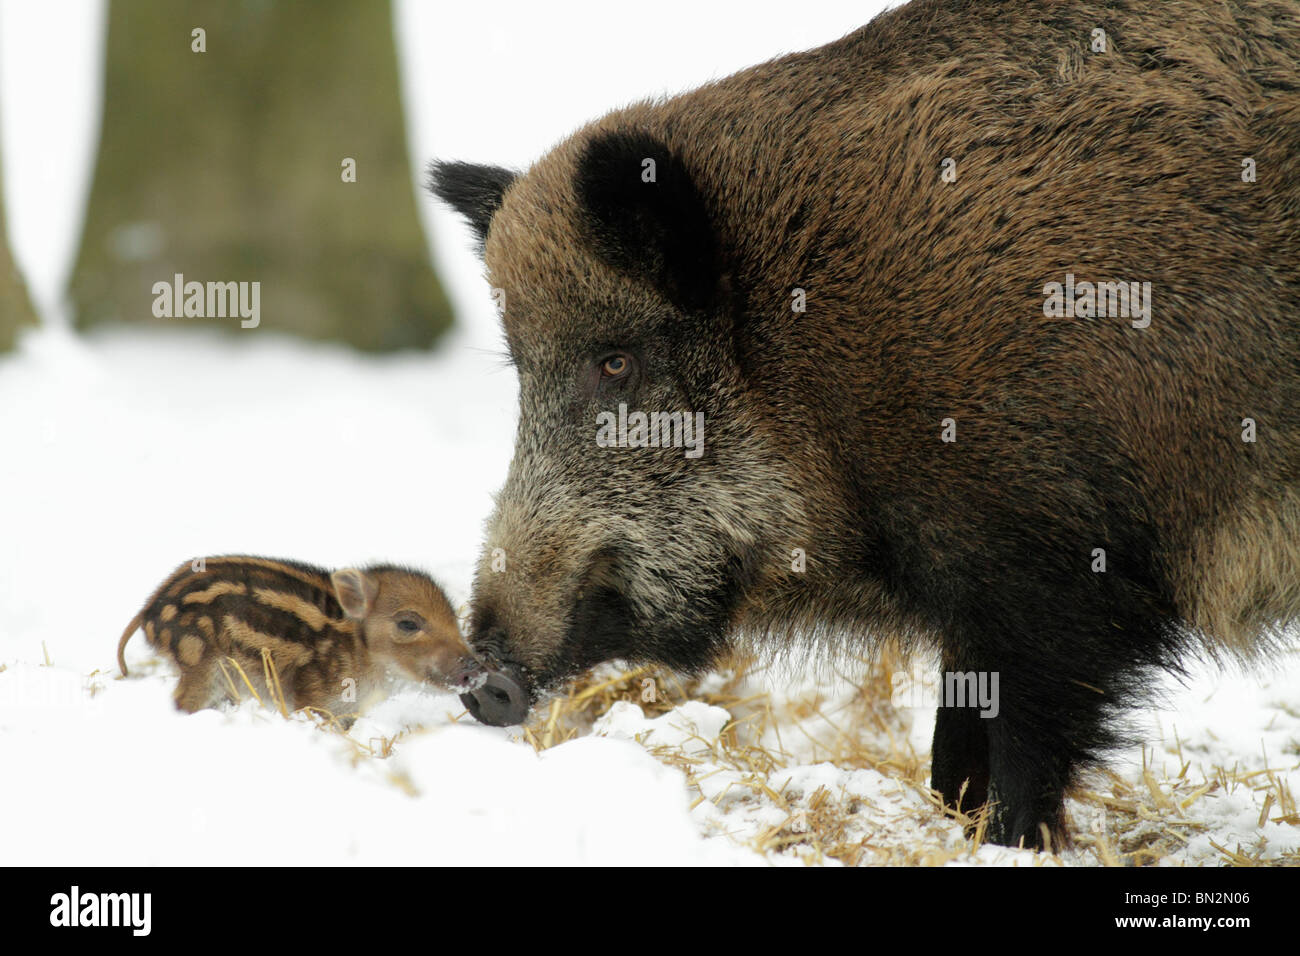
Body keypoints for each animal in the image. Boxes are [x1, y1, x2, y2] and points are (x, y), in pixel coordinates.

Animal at [118, 556, 476, 719]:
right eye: (408, 624)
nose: (476, 669)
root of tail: (150, 609)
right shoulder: (316, 699)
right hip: (200, 665)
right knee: (180, 702)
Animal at [429, 0, 1300, 848]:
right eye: (520, 373)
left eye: (616, 362)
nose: (483, 682)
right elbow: (952, 761)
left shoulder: (1061, 566)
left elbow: (1021, 748)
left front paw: (1012, 843)